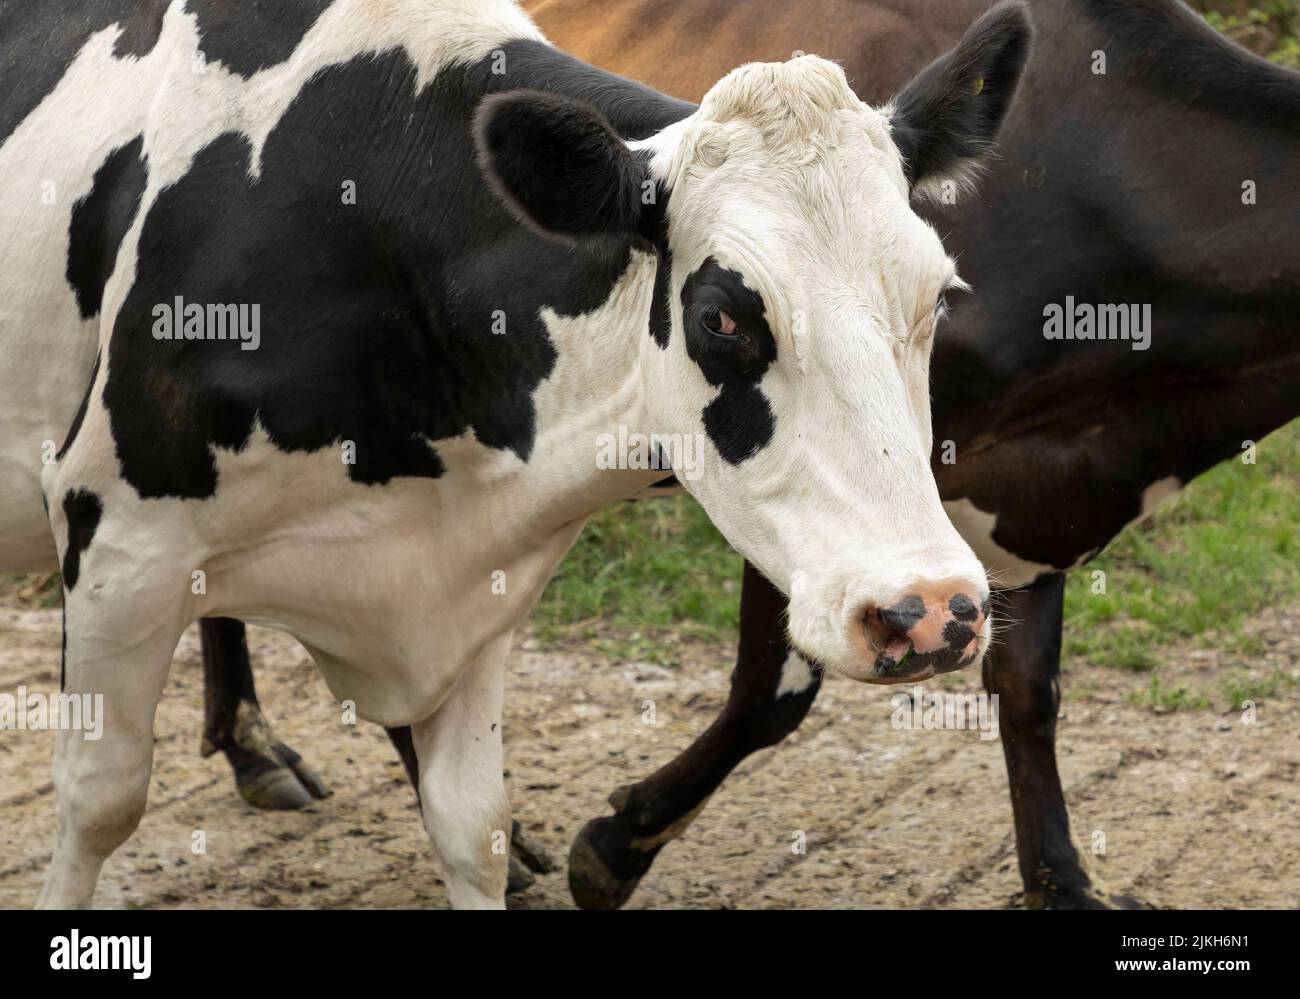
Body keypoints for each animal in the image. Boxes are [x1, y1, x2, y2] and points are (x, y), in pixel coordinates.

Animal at [0, 0, 1033, 907]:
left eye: (939, 297)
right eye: (721, 317)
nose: (931, 610)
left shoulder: (476, 578)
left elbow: (470, 824)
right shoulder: (120, 542)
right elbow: (98, 804)